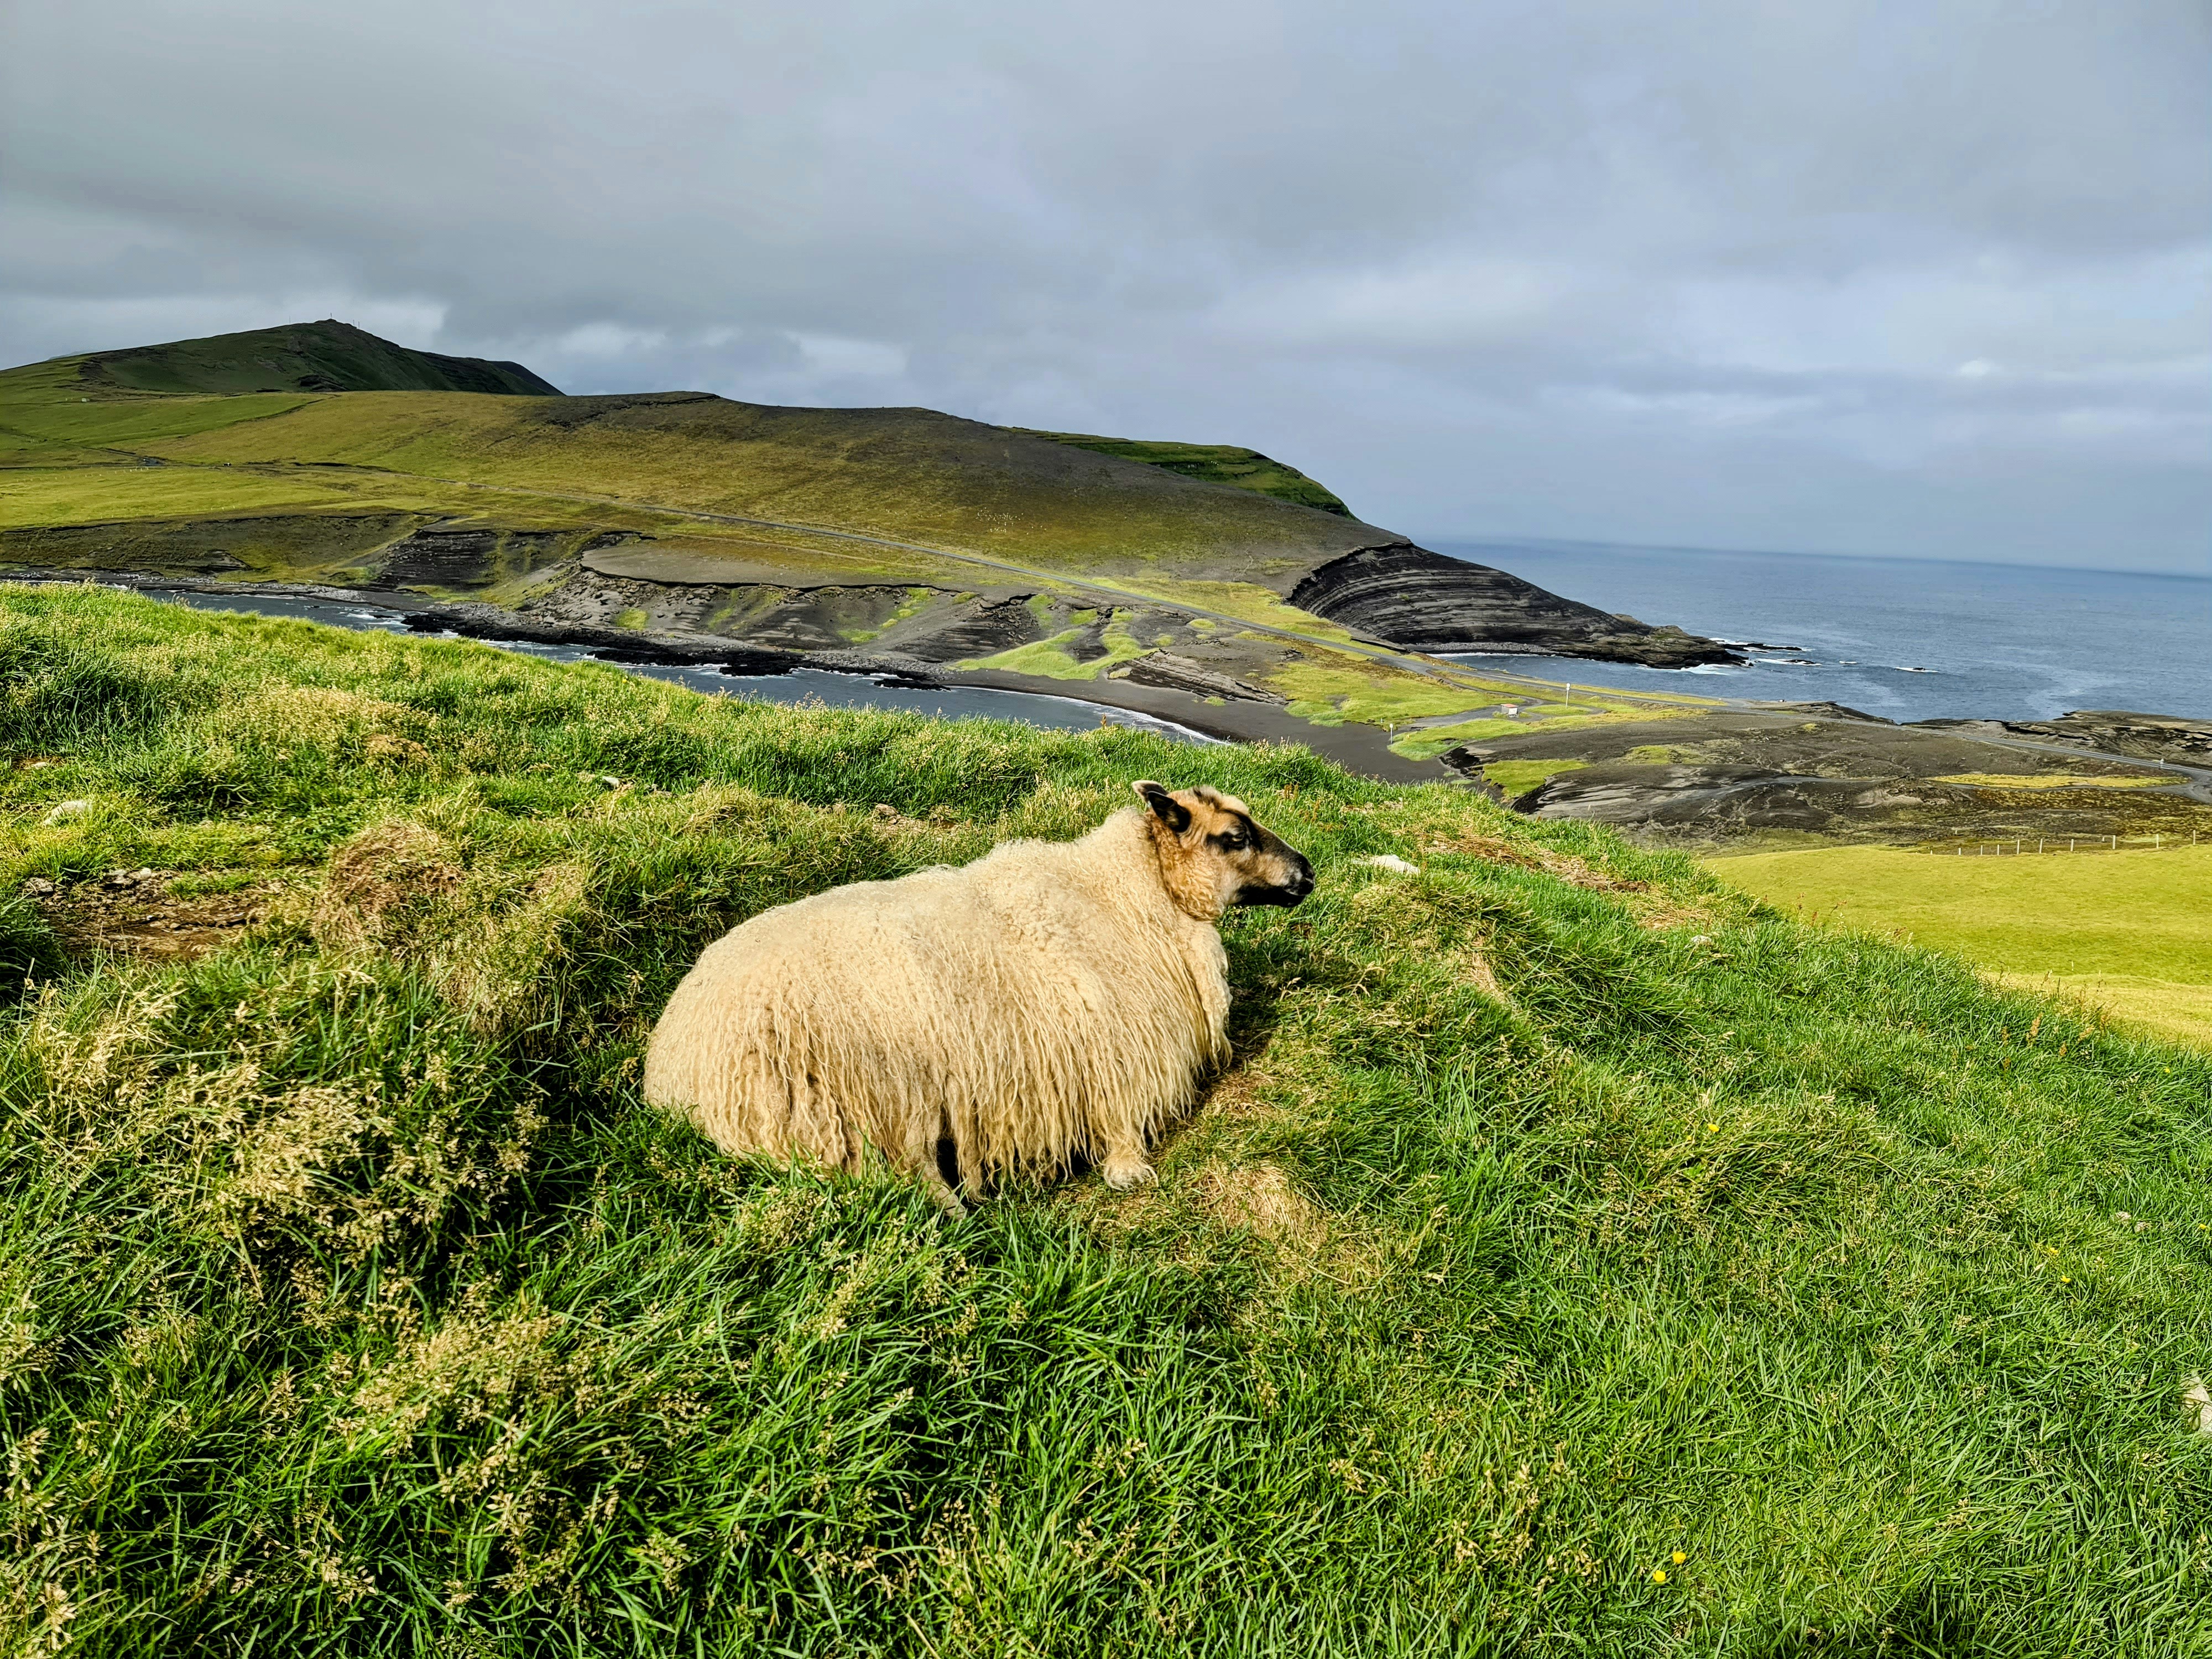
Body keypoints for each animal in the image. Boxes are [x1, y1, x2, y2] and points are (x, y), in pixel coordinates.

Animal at [643, 780, 1314, 1215]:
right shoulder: (1114, 1049)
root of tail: (671, 1070)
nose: (1309, 872)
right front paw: (1130, 1172)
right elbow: (1121, 1121)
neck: (1126, 895)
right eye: (1234, 837)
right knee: (904, 1176)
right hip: (863, 1101)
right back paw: (957, 1212)